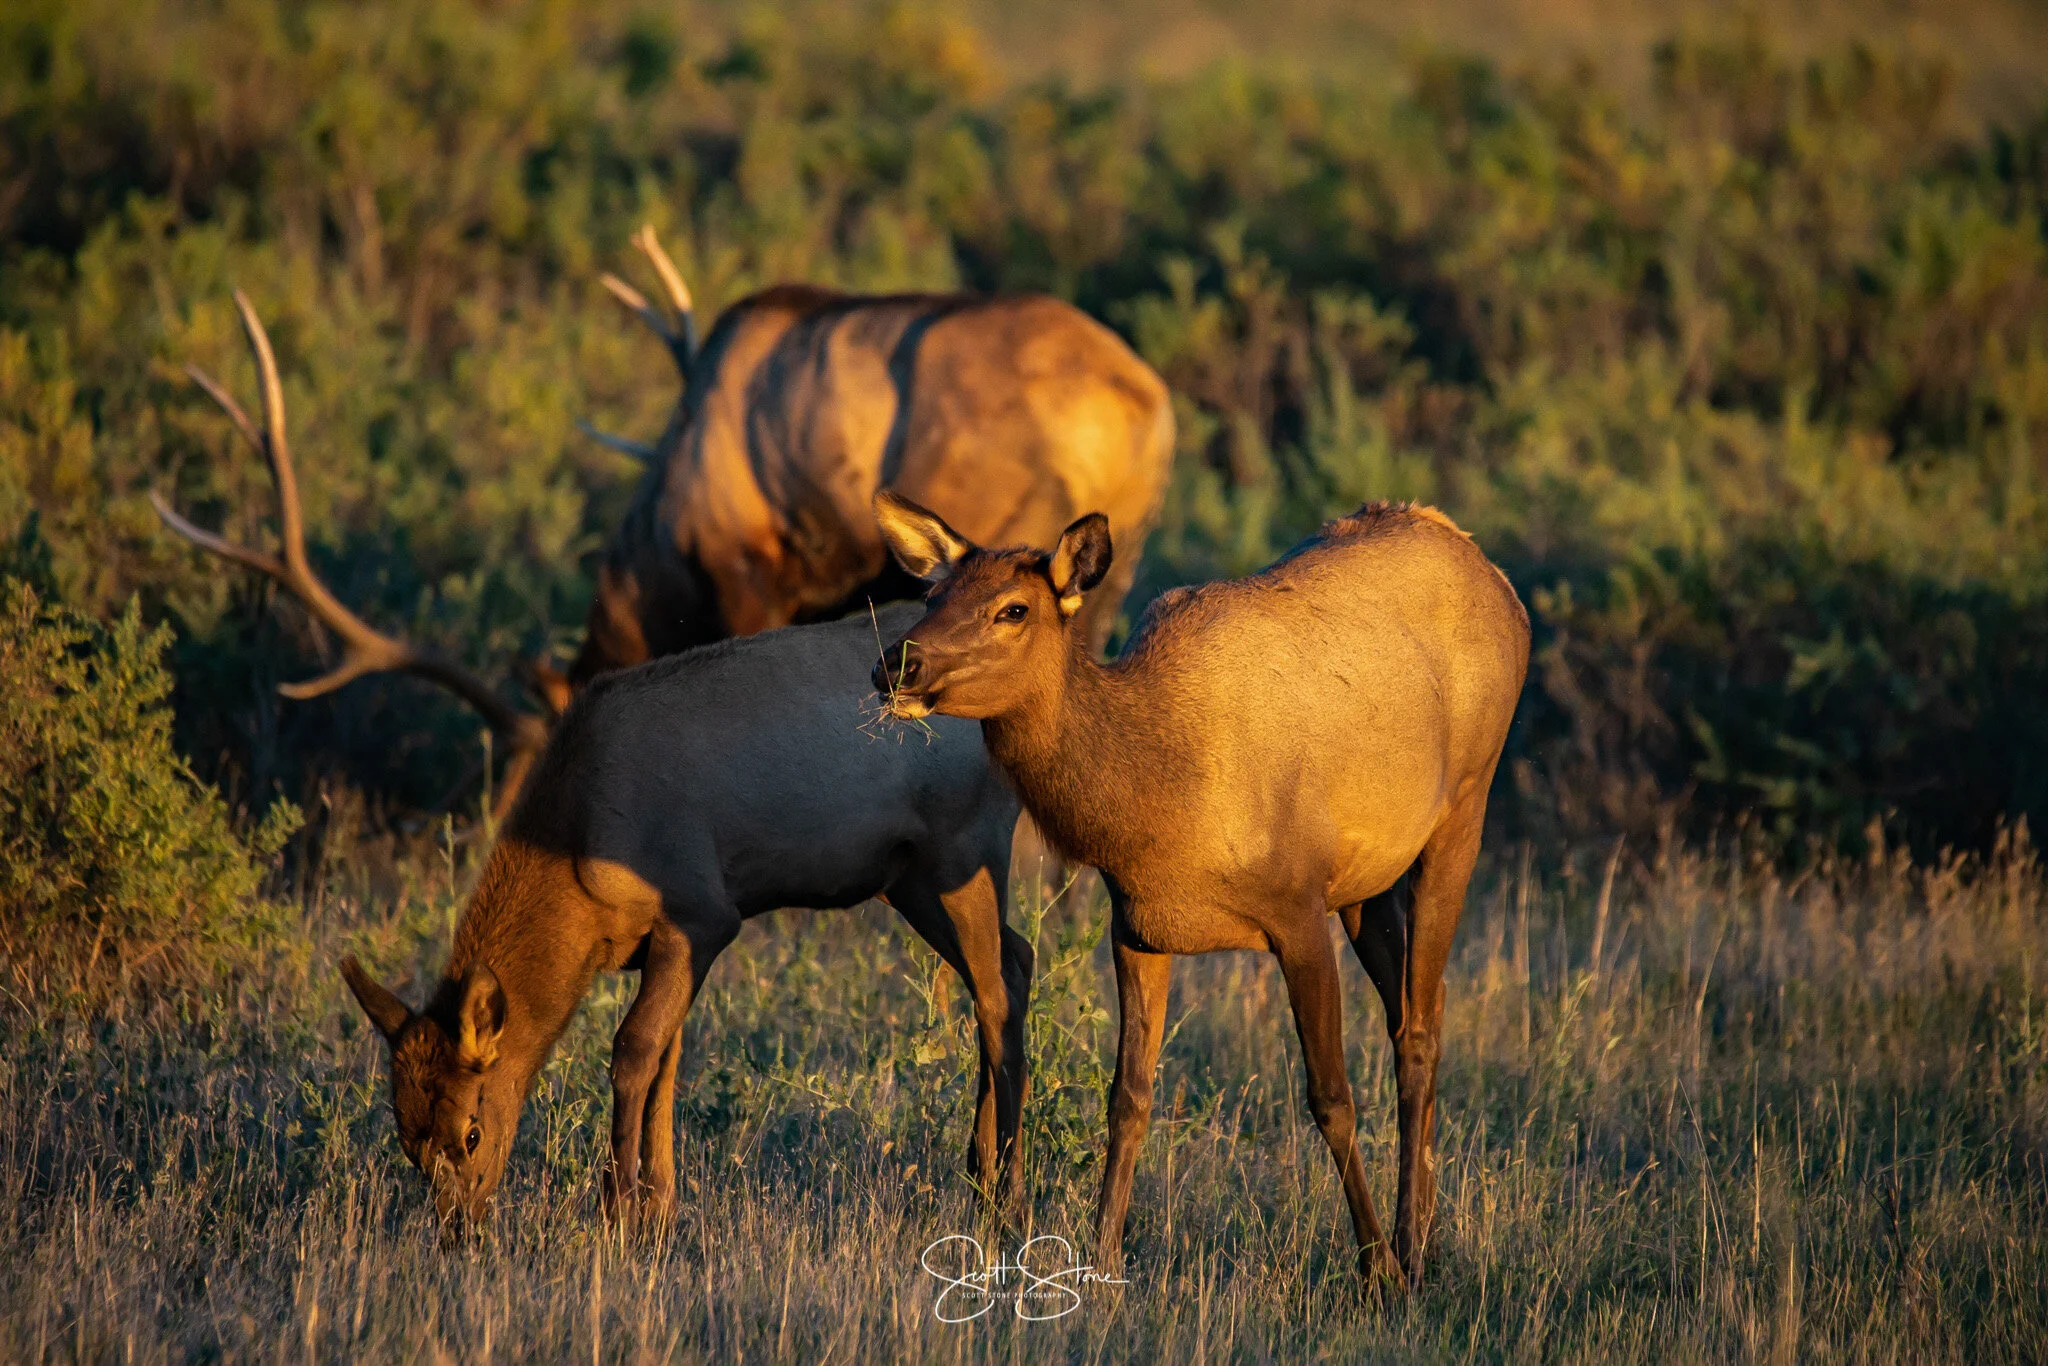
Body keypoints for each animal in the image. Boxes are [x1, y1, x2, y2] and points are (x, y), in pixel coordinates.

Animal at [868, 492, 1530, 1290]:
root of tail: (1498, 580)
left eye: (1014, 609)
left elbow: (1331, 1097)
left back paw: (1412, 1251)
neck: (1157, 805)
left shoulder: (1297, 908)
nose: (896, 663)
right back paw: (1420, 1234)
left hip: (1464, 808)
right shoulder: (1138, 925)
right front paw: (1102, 1265)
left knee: (1423, 1031)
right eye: (932, 596)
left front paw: (1377, 1274)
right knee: (1412, 1013)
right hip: (1365, 888)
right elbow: (1129, 1096)